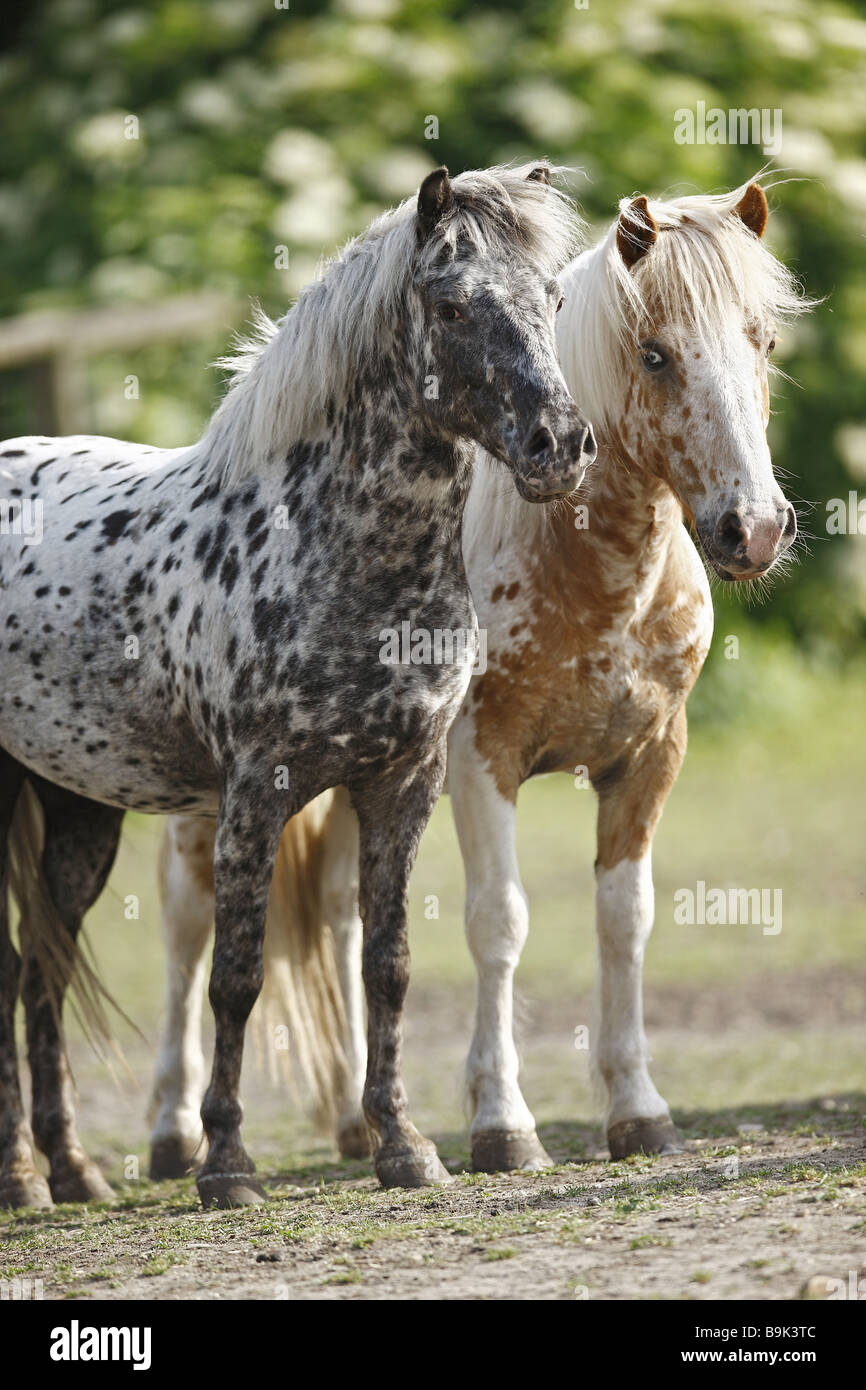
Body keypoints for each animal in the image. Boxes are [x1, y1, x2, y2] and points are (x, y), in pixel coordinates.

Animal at [0, 162, 597, 1211]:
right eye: (450, 305)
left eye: (555, 300)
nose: (557, 446)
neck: (325, 549)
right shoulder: (254, 794)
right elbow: (234, 979)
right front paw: (226, 1166)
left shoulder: (402, 785)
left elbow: (386, 967)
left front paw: (406, 1148)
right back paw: (22, 1179)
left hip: (76, 811)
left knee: (42, 968)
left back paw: (70, 1173)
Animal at [148, 179, 812, 1179]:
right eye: (655, 354)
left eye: (763, 341)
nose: (755, 528)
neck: (588, 572)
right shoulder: (478, 757)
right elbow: (498, 922)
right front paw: (503, 1124)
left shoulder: (649, 757)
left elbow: (626, 920)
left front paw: (639, 1110)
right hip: (215, 802)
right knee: (192, 928)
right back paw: (173, 1132)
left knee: (342, 916)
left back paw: (362, 1124)